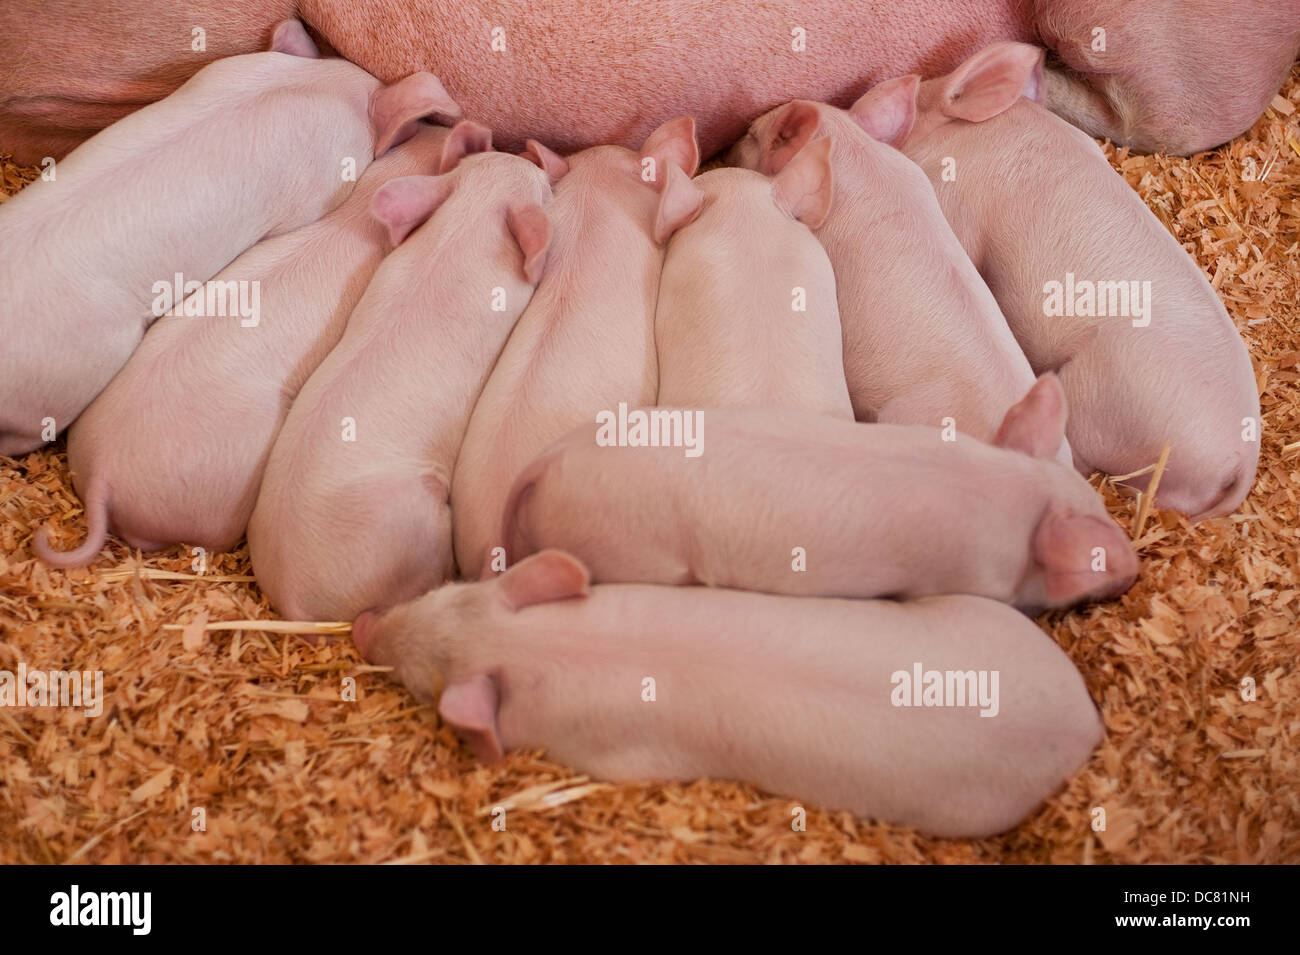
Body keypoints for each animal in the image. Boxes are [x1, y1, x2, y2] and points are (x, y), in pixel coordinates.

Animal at [351, 549, 1105, 838]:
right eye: (447, 590)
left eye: (424, 682)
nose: (362, 625)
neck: (535, 651)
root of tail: (1085, 725)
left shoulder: (617, 755)